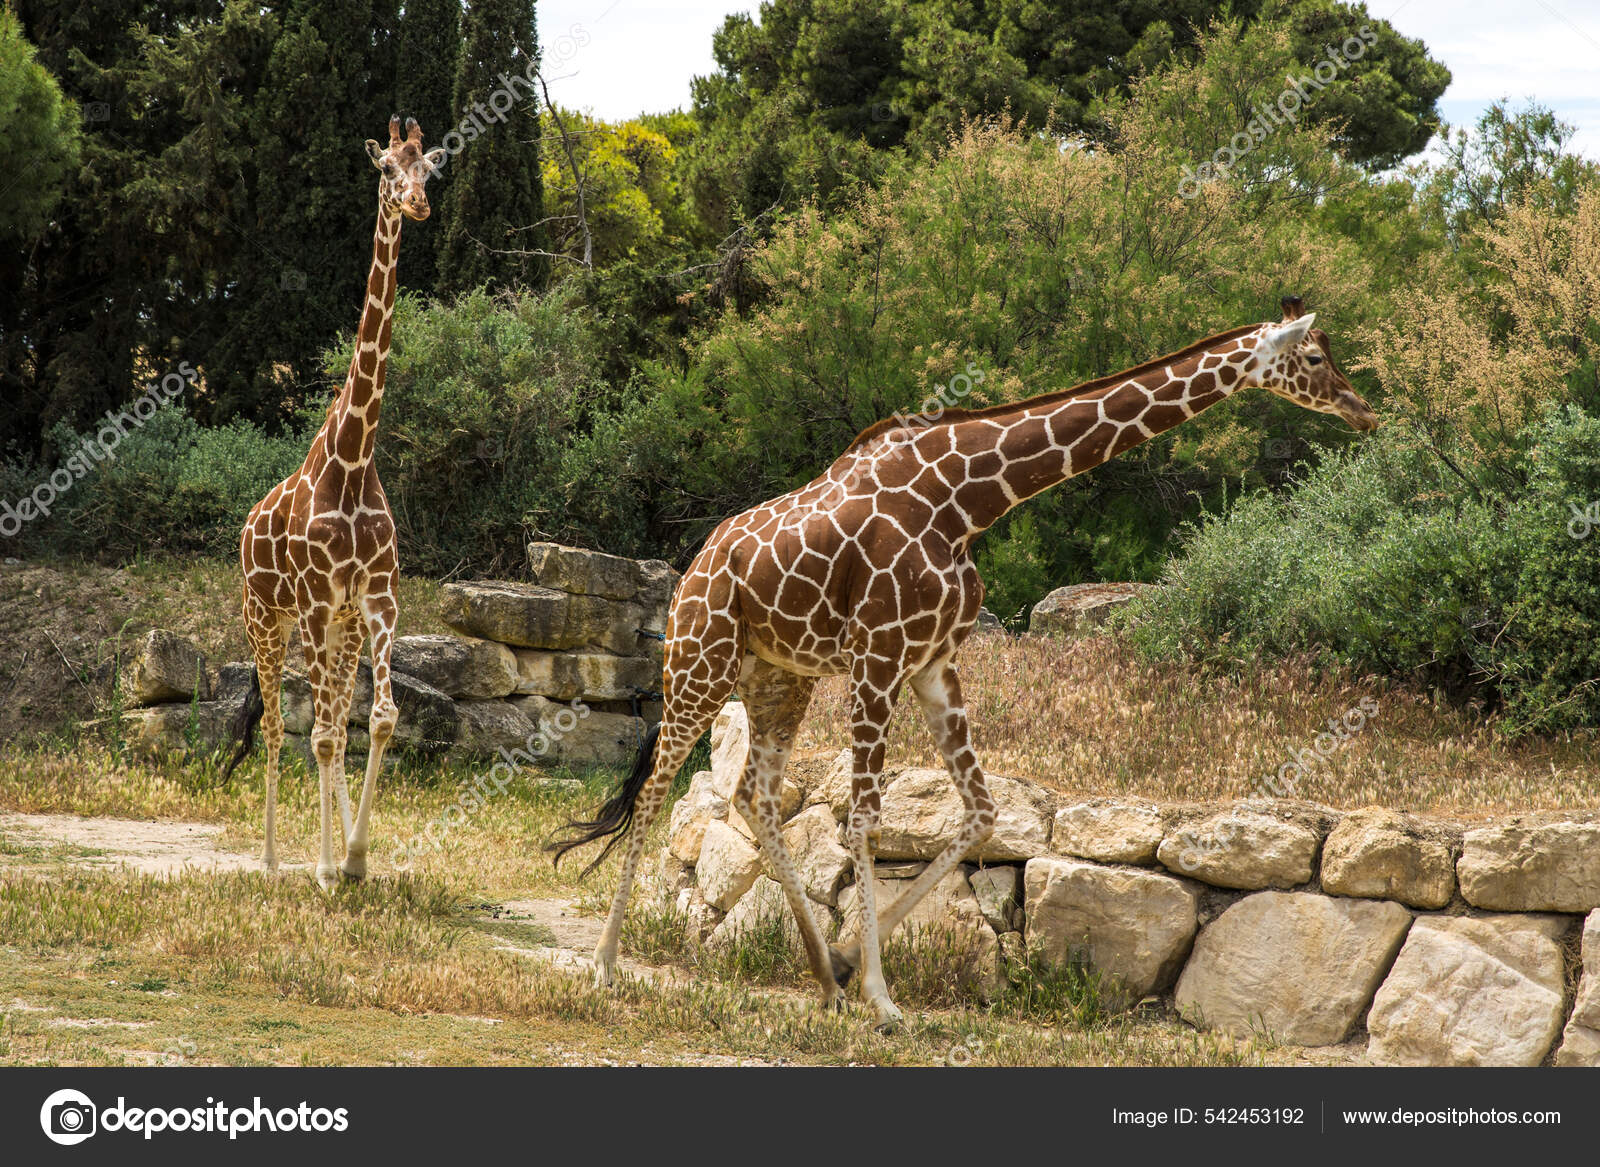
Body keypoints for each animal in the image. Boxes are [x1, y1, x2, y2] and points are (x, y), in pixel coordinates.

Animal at [225, 116, 444, 891]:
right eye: (385, 169)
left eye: (430, 168)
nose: (416, 204)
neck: (352, 460)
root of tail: (245, 529)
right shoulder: (318, 601)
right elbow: (317, 734)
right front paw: (323, 866)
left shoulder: (376, 599)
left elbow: (378, 719)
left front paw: (355, 859)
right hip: (267, 617)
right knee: (280, 727)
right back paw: (270, 860)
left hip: (337, 628)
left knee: (337, 720)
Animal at [549, 297, 1378, 1028]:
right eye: (1313, 358)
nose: (1364, 409)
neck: (968, 500)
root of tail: (693, 566)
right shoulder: (879, 656)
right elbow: (865, 822)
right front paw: (882, 999)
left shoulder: (932, 660)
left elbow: (981, 812)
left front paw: (851, 964)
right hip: (701, 662)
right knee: (654, 792)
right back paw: (604, 967)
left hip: (781, 678)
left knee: (755, 796)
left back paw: (821, 977)